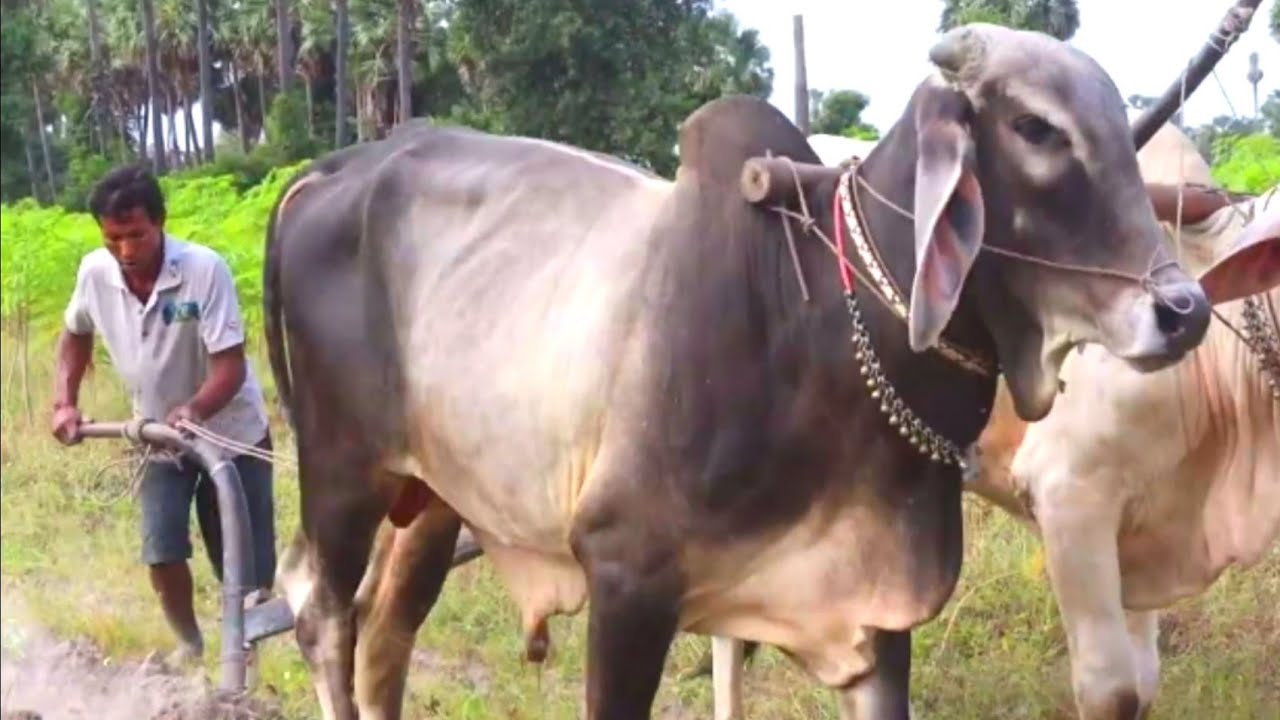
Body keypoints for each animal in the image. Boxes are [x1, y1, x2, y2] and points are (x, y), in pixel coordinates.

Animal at [263, 24, 1218, 720]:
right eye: (1036, 128)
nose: (1185, 310)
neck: (822, 326)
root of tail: (333, 167)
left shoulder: (871, 611)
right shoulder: (625, 579)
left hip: (435, 497)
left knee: (384, 633)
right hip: (341, 475)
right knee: (323, 615)